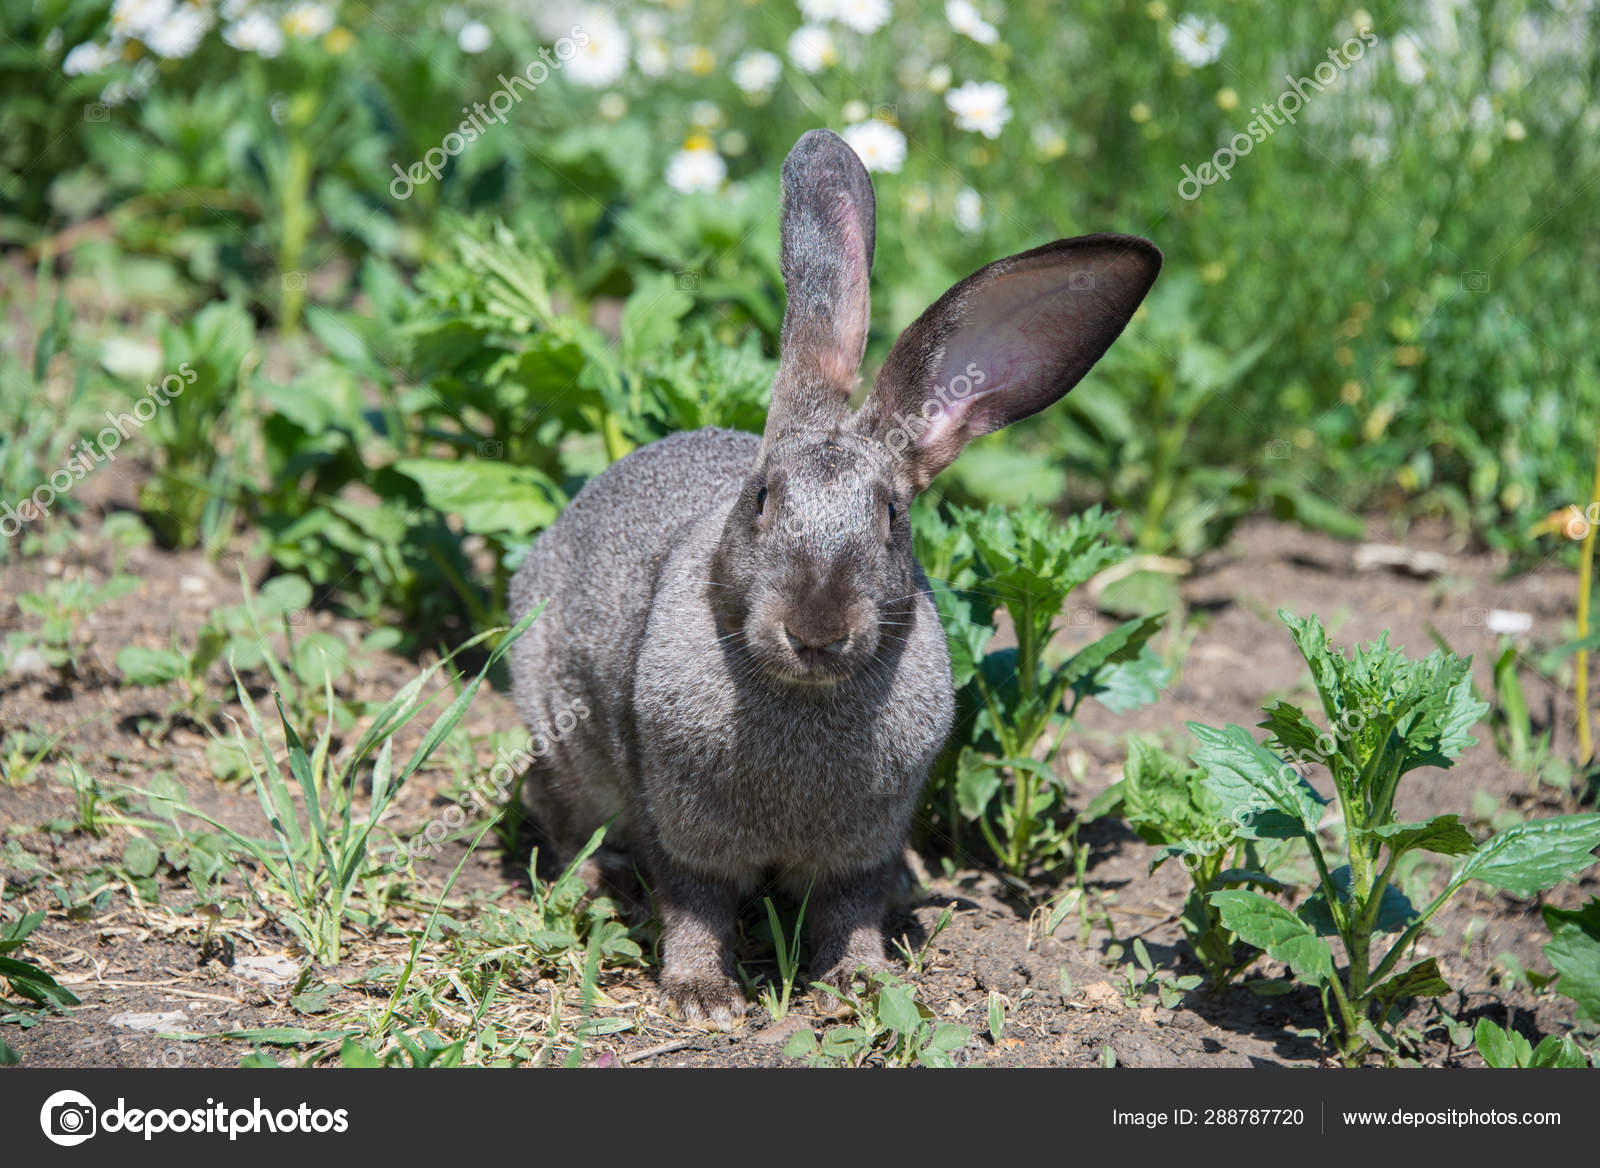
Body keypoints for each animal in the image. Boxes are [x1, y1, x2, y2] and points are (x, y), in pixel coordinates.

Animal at [508, 128, 1160, 1030]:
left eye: (890, 515)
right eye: (759, 498)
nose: (814, 630)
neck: (806, 698)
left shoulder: (865, 847)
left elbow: (850, 911)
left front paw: (863, 985)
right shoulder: (683, 828)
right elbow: (695, 907)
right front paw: (702, 999)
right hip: (563, 733)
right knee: (558, 811)